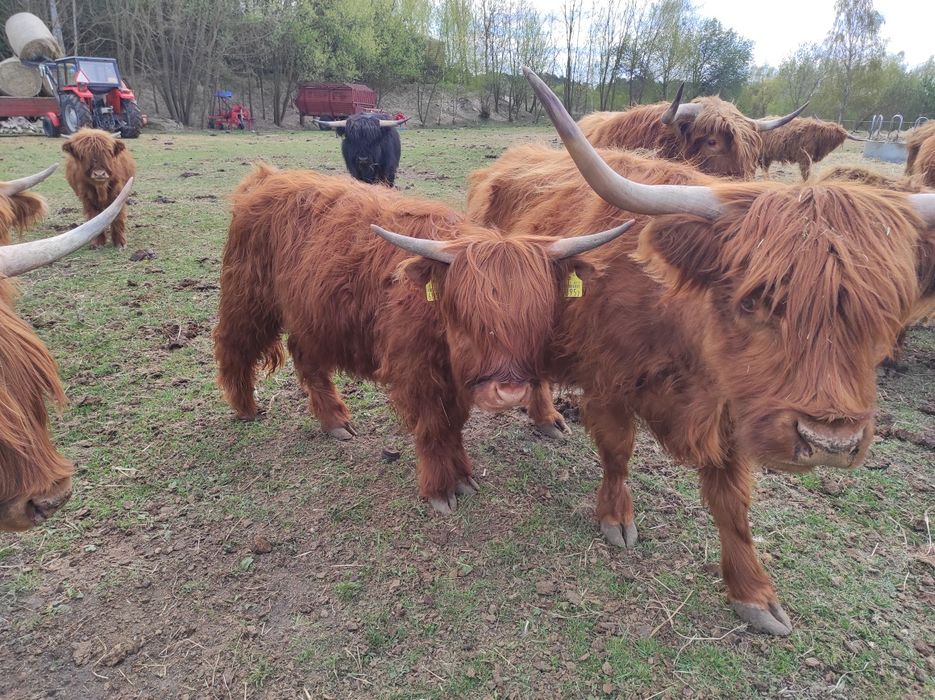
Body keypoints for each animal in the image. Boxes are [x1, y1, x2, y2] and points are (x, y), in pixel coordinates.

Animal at [213, 164, 630, 514]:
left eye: (538, 317)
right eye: (467, 317)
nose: (510, 391)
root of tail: (268, 177)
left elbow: (453, 425)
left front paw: (462, 475)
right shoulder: (417, 373)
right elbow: (433, 428)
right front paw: (440, 488)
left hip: (311, 314)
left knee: (306, 357)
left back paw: (334, 421)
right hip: (249, 295)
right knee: (234, 343)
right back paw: (245, 407)